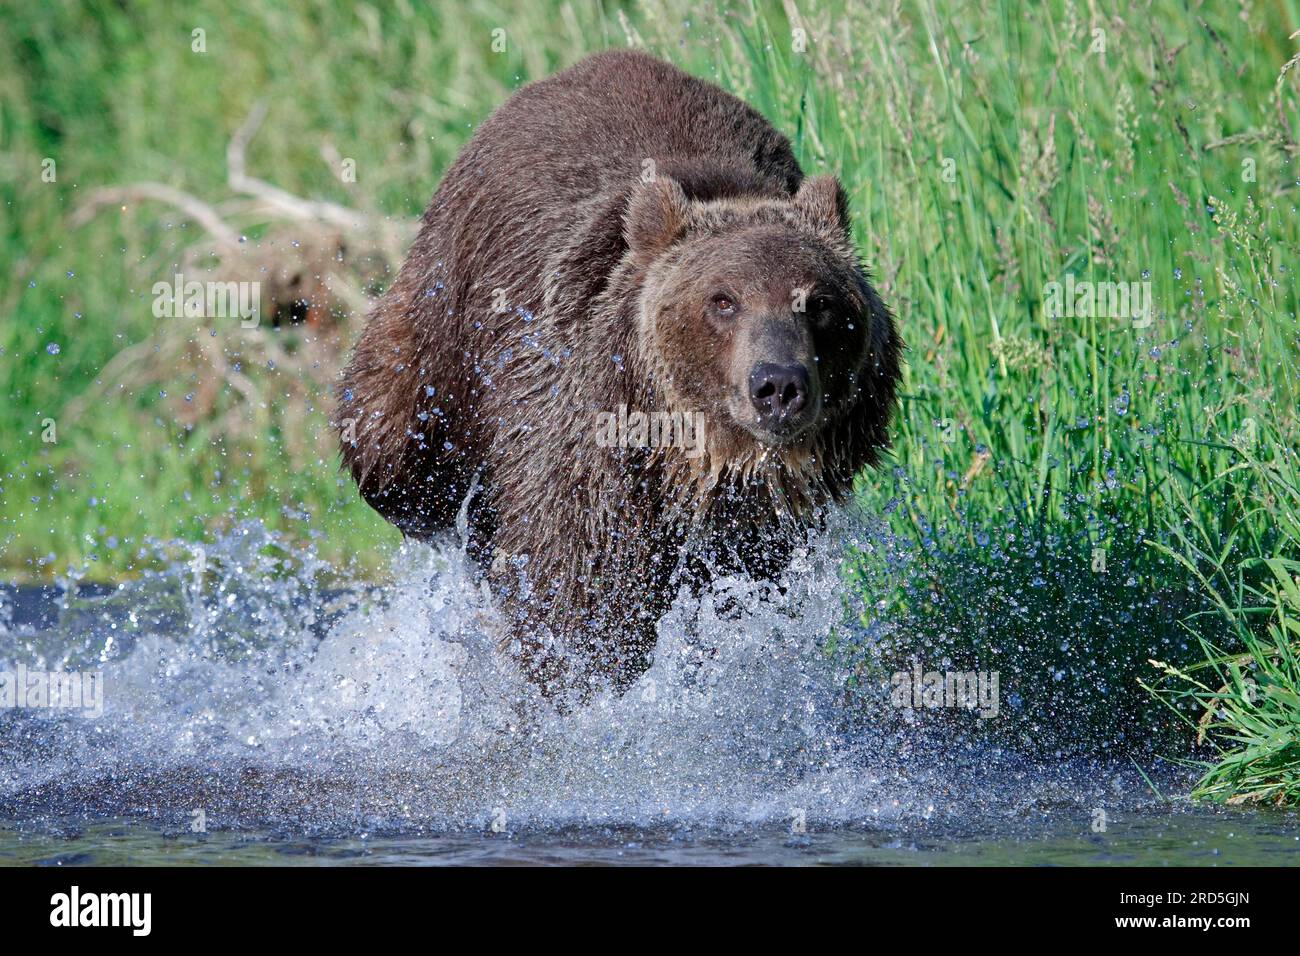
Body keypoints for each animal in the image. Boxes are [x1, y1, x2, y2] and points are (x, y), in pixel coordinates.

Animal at [337, 49, 900, 704]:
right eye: (723, 300)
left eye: (820, 303)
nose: (778, 385)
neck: (695, 455)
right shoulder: (584, 427)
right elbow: (579, 581)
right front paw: (579, 676)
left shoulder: (760, 522)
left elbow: (746, 595)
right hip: (442, 315)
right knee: (389, 441)